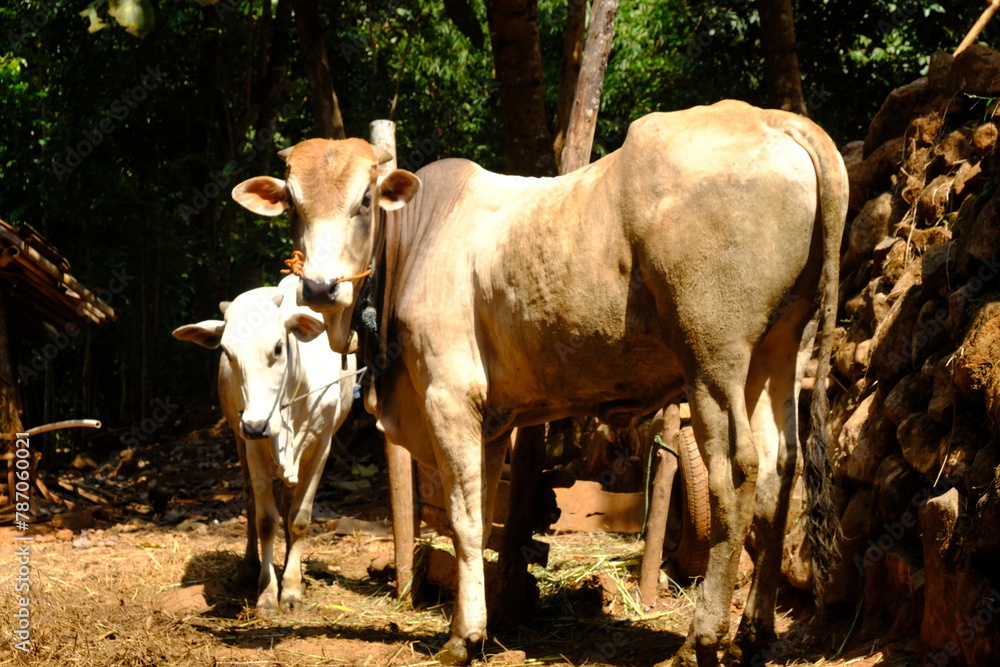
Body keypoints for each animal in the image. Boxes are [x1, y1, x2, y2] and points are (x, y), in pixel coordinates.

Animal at [172, 274, 357, 616]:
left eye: (278, 347)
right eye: (227, 352)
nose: (256, 425)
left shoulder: (322, 446)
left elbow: (298, 518)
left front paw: (292, 588)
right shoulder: (253, 446)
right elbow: (266, 521)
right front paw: (268, 593)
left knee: (288, 506)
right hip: (239, 440)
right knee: (251, 501)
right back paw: (250, 567)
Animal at [231, 100, 848, 666]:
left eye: (364, 199)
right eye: (292, 203)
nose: (318, 286)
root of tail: (773, 118)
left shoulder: (448, 399)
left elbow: (463, 520)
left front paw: (462, 639)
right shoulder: (491, 421)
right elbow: (478, 520)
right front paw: (477, 624)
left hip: (713, 359)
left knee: (737, 472)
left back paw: (703, 639)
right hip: (776, 351)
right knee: (781, 467)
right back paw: (755, 633)